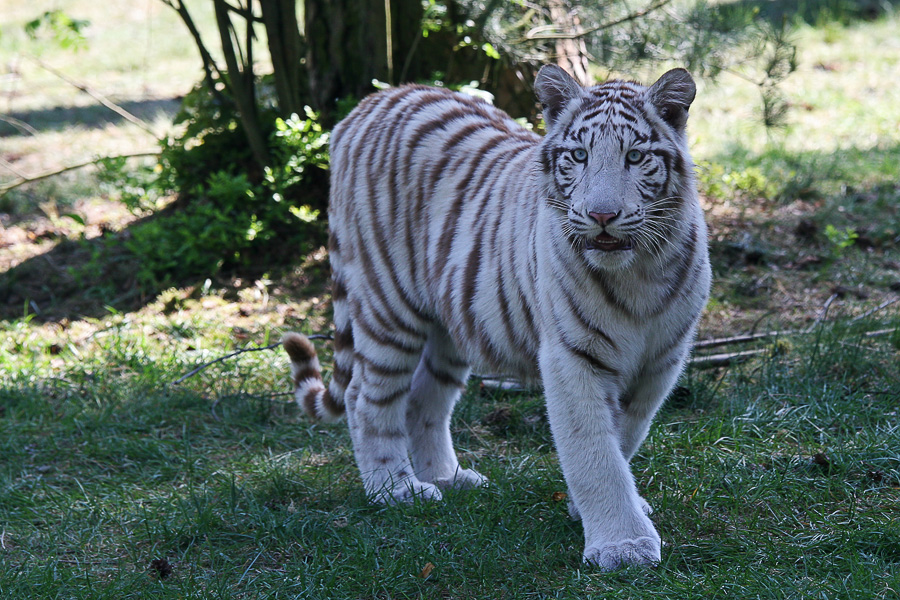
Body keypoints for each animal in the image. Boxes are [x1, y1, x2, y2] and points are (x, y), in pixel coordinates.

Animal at [282, 64, 711, 570]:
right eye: (580, 155)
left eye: (636, 156)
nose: (602, 215)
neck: (640, 271)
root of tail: (370, 104)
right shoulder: (572, 358)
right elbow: (595, 452)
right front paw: (622, 545)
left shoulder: (661, 361)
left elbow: (624, 438)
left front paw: (594, 511)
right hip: (388, 307)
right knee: (365, 398)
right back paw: (395, 490)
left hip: (449, 326)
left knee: (423, 398)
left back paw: (449, 478)